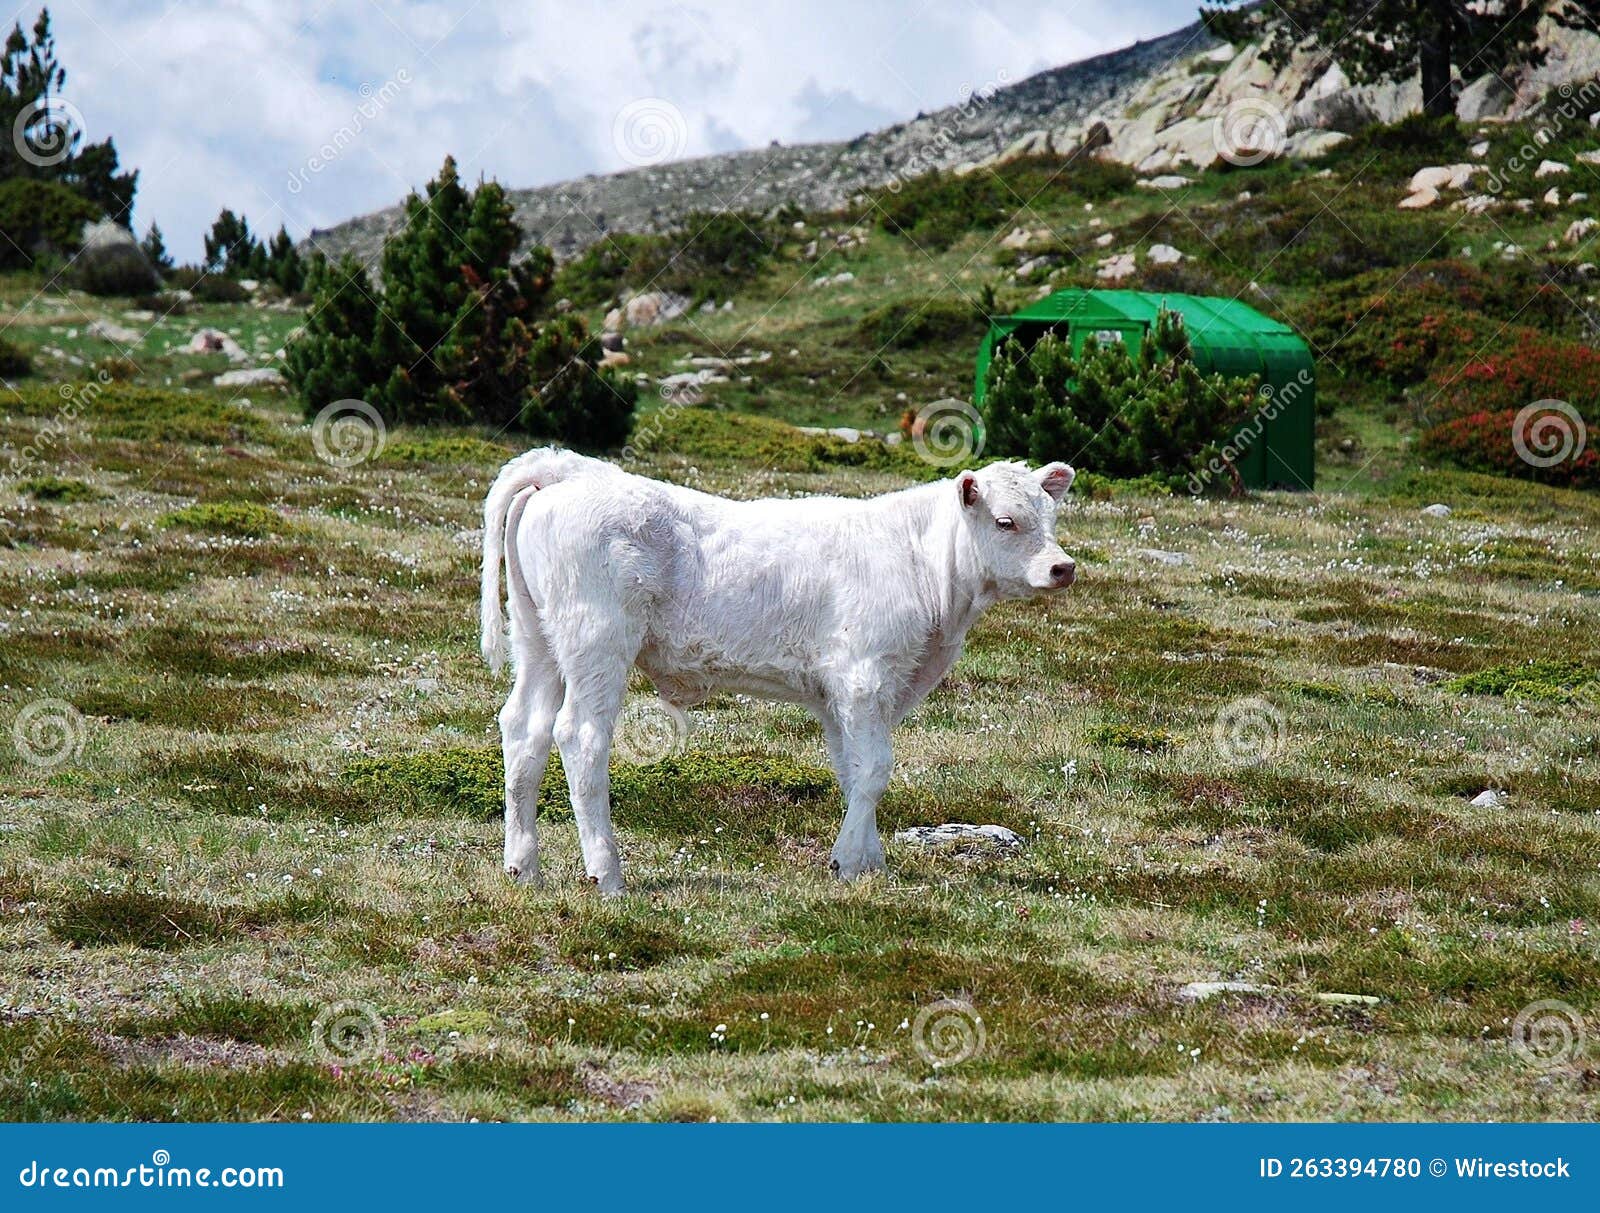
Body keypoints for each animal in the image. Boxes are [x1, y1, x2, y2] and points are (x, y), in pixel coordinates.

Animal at [480, 447, 1077, 895]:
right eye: (1005, 521)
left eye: (1051, 518)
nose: (1063, 567)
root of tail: (569, 469)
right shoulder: (865, 677)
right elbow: (876, 769)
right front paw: (846, 860)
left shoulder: (841, 696)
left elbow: (852, 772)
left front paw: (870, 863)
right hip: (598, 641)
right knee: (580, 736)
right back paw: (605, 873)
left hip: (539, 639)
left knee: (524, 728)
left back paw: (522, 867)